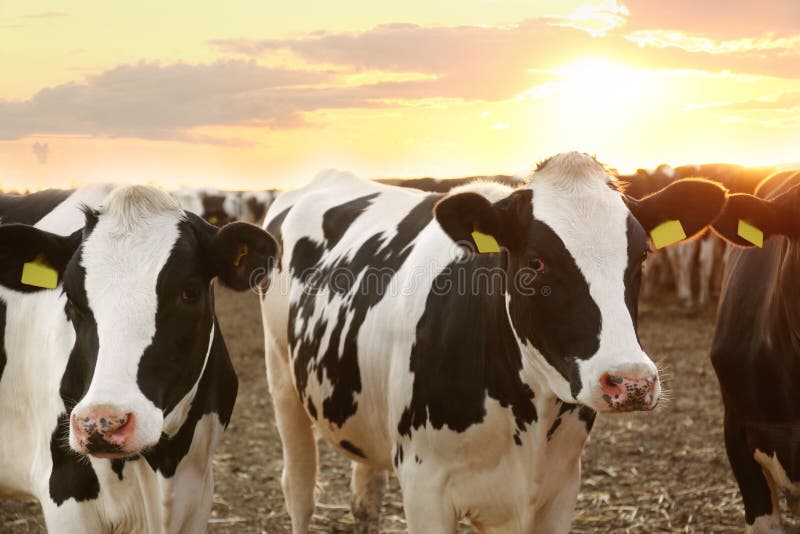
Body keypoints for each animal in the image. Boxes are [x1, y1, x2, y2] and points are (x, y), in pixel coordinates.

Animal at [0, 184, 277, 532]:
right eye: (72, 299)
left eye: (189, 292)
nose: (102, 423)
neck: (164, 461)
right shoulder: (65, 490)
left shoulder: (198, 491)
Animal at [260, 152, 729, 533]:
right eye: (536, 263)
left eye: (642, 255)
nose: (631, 382)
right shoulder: (424, 488)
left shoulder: (561, 488)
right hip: (282, 379)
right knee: (298, 492)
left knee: (365, 500)